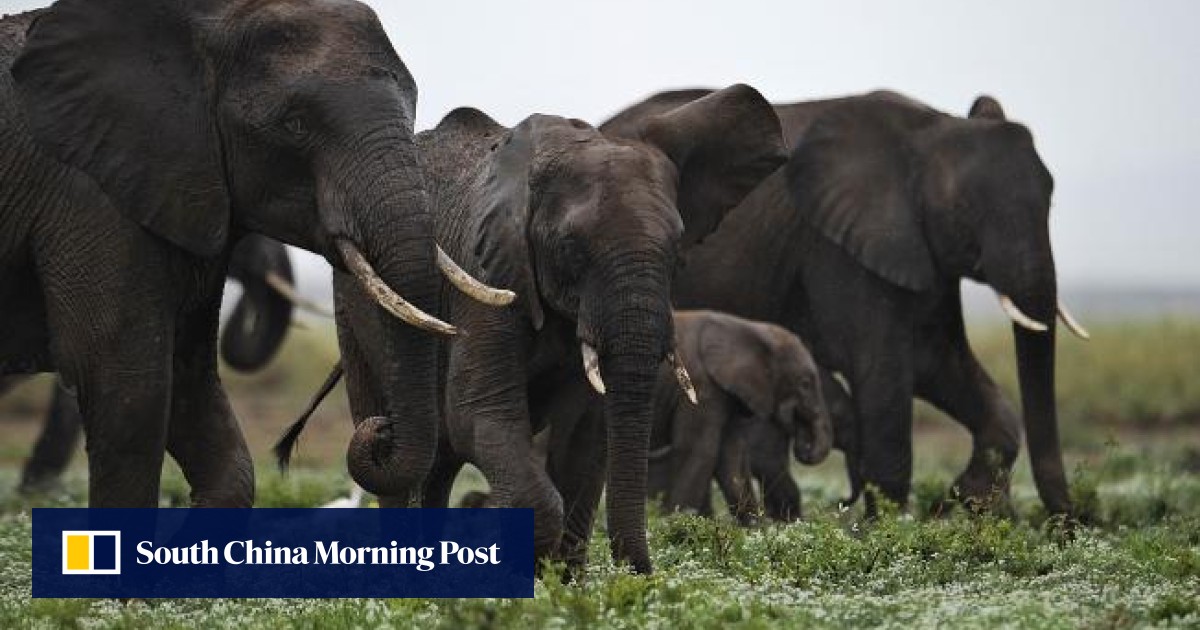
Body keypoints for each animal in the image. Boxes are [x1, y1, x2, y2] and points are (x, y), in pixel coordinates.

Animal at [278, 84, 787, 574]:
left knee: (438, 460)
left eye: (678, 250)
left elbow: (586, 436)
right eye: (571, 247)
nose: (642, 574)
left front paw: (566, 586)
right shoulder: (486, 268)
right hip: (352, 305)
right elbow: (478, 413)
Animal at [645, 310, 833, 525]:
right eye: (805, 384)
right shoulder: (703, 387)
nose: (804, 449)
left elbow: (731, 460)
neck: (748, 327)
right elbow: (698, 451)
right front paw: (676, 523)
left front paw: (757, 529)